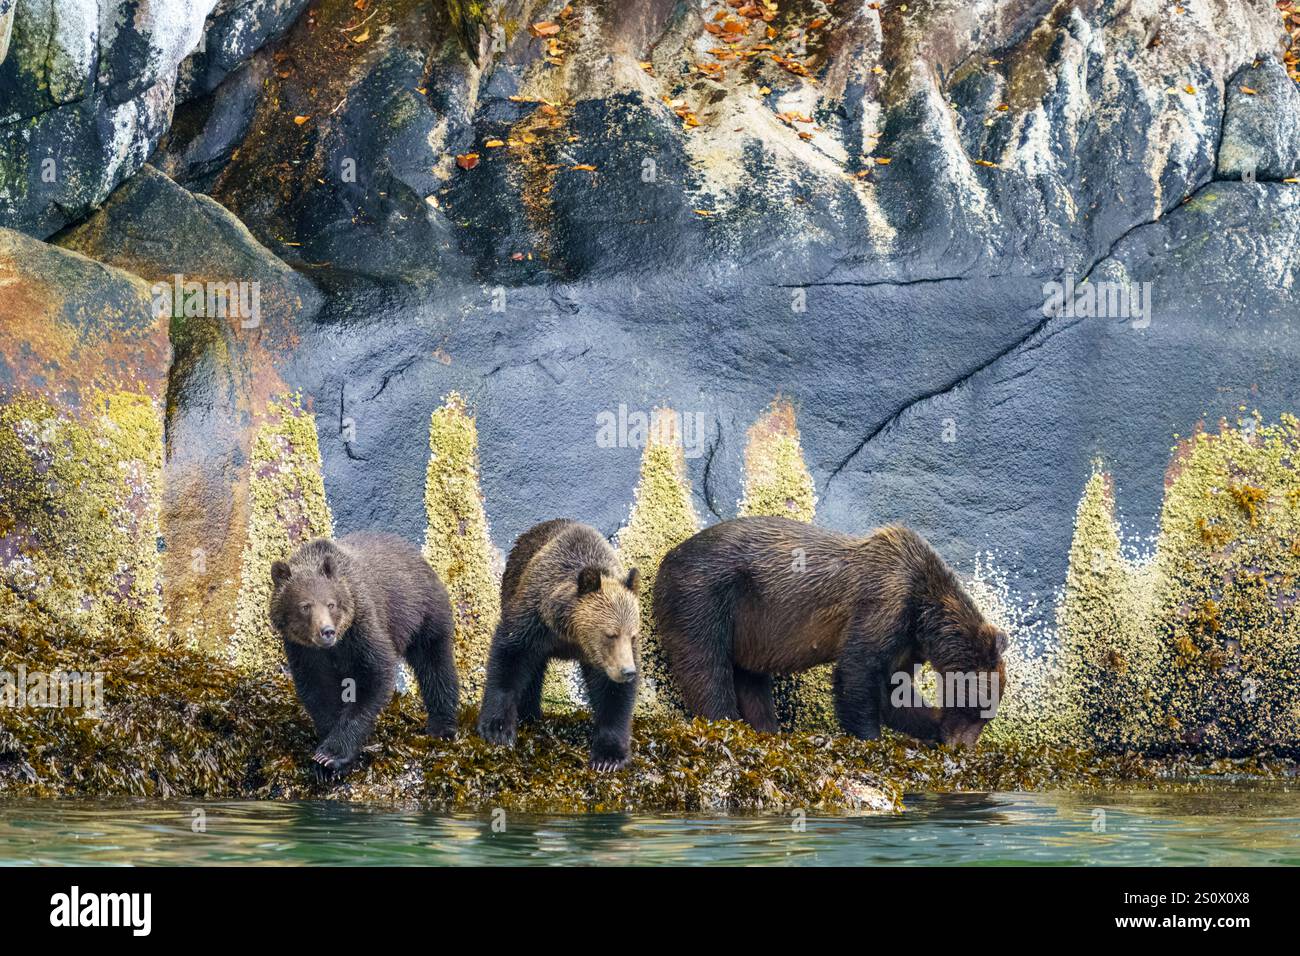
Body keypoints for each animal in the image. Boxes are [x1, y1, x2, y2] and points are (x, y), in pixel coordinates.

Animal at [269, 532, 460, 774]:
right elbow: (318, 691)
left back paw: (441, 726)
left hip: (423, 613)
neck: (335, 646)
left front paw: (331, 755)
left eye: (330, 604)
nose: (327, 631)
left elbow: (373, 677)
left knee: (435, 664)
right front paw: (324, 761)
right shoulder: (304, 651)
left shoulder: (362, 628)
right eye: (305, 606)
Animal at [477, 519, 641, 771]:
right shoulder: (533, 620)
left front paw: (609, 756)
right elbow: (510, 658)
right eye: (610, 634)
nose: (627, 671)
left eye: (632, 635)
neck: (570, 635)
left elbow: (614, 695)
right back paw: (530, 714)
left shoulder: (607, 659)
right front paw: (497, 729)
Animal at [652, 516, 1007, 745]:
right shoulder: (884, 602)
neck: (924, 612)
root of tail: (664, 559)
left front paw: (930, 726)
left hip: (747, 629)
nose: (962, 746)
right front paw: (870, 739)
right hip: (705, 596)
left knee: (750, 681)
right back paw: (725, 722)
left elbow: (894, 690)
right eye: (978, 710)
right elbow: (858, 672)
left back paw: (766, 730)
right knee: (706, 665)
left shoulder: (906, 642)